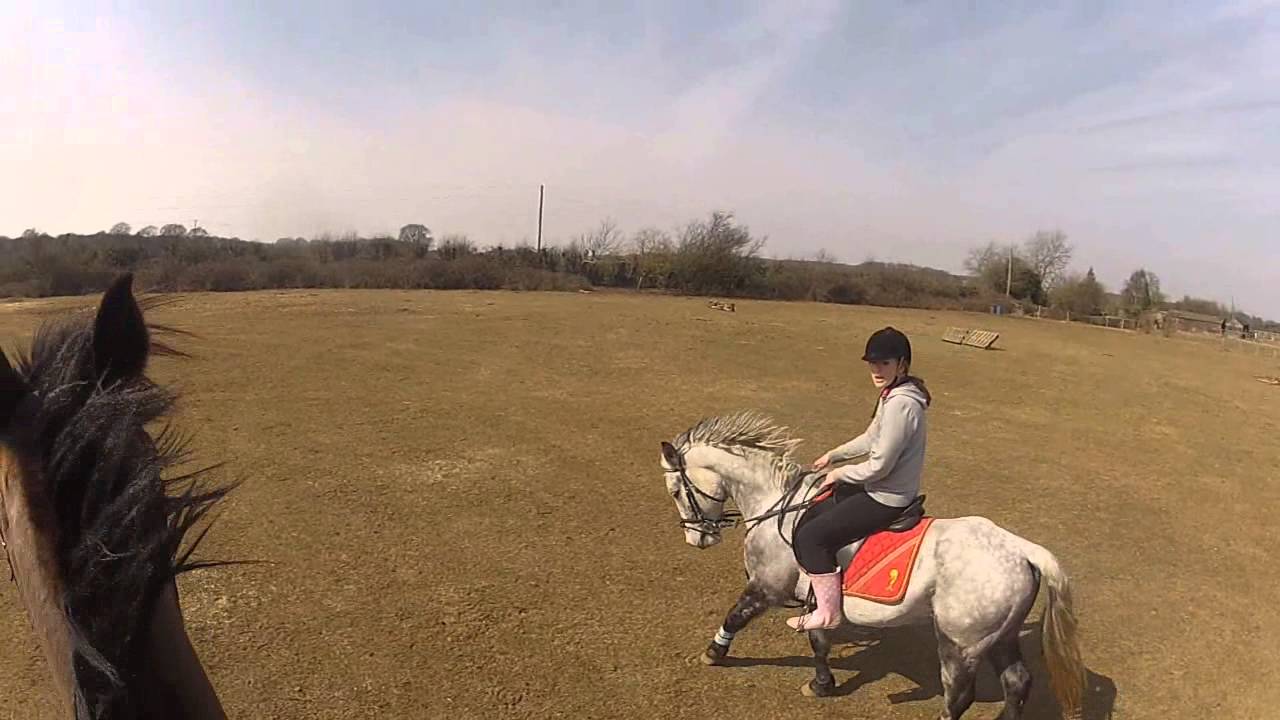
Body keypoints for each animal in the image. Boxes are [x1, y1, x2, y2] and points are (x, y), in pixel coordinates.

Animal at [659, 411, 1086, 720]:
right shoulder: (818, 597)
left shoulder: (767, 587)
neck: (778, 504)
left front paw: (713, 653)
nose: (697, 539)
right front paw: (822, 684)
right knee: (1017, 683)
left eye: (677, 491)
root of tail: (1021, 550)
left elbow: (735, 617)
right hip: (1000, 636)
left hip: (961, 643)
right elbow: (819, 641)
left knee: (959, 697)